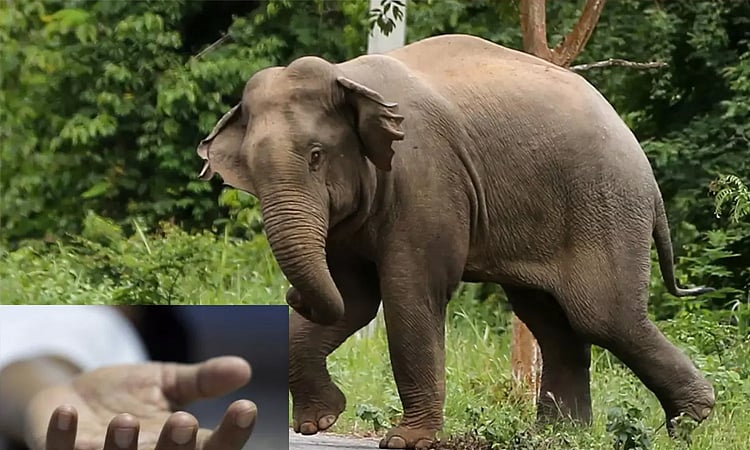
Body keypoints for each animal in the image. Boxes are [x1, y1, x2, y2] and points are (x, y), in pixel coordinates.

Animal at [196, 34, 715, 449]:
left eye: (317, 156)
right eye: (250, 169)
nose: (291, 295)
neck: (350, 78)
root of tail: (647, 172)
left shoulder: (426, 178)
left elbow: (408, 291)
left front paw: (406, 441)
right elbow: (353, 299)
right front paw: (317, 422)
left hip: (604, 207)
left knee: (602, 316)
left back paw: (691, 422)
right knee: (550, 320)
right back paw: (558, 436)